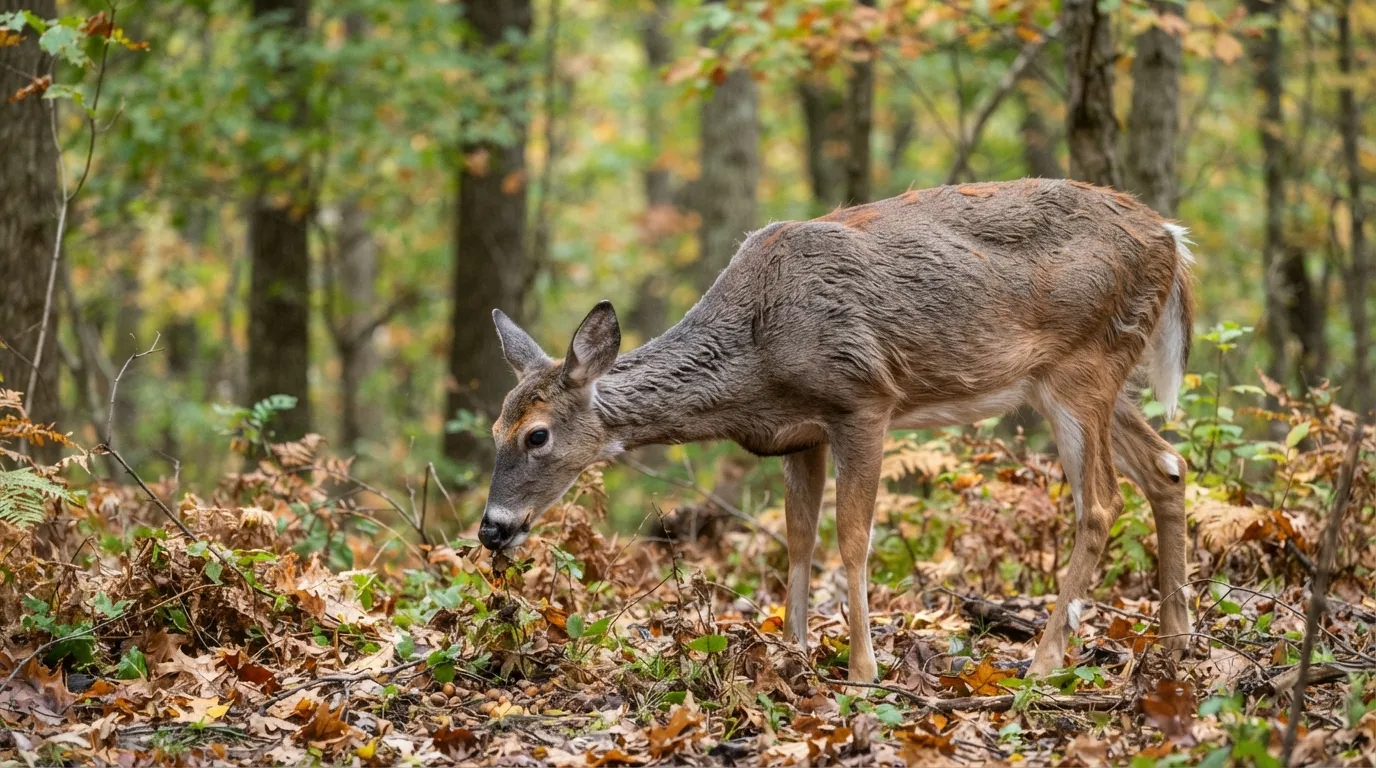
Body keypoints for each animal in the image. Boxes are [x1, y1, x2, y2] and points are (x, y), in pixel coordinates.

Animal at [477, 178, 1194, 681]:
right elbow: (798, 539)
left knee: (1100, 501)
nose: (492, 528)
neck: (756, 354)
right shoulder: (800, 434)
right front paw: (794, 651)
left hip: (1082, 365)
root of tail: (1171, 236)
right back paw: (1176, 640)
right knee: (1168, 465)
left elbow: (852, 538)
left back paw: (1045, 662)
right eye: (494, 427)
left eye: (536, 435)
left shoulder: (864, 399)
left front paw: (862, 668)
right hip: (1092, 374)